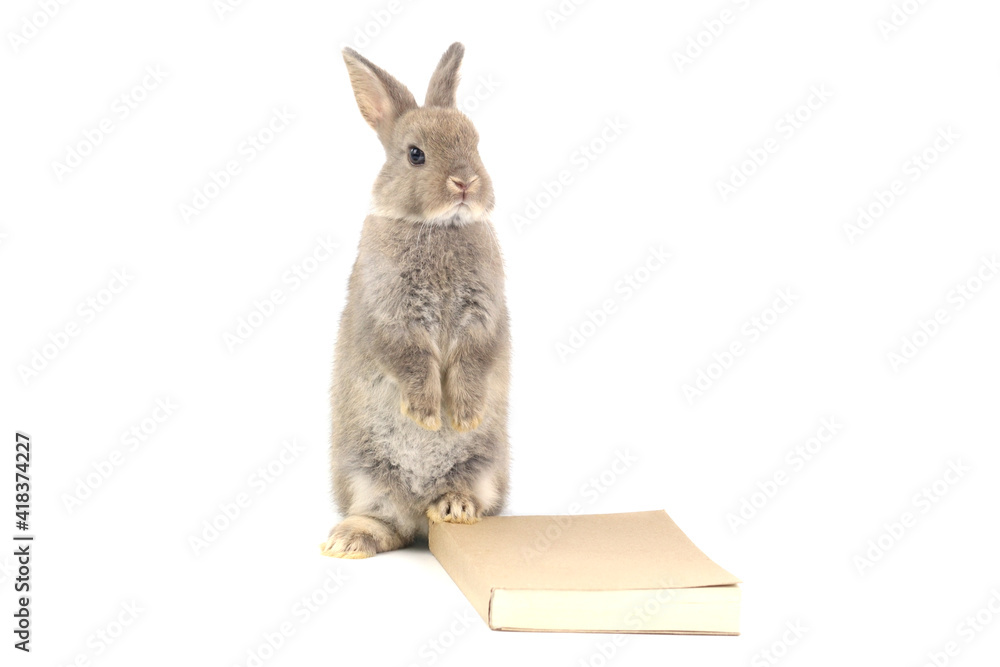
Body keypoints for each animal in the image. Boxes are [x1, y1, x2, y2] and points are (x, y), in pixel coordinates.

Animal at [320, 43, 510, 559]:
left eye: (476, 143)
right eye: (416, 155)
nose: (464, 182)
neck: (438, 227)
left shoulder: (484, 317)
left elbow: (472, 359)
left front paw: (462, 415)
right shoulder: (389, 315)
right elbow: (408, 358)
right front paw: (426, 415)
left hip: (484, 467)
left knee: (466, 496)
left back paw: (453, 507)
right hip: (364, 473)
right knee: (387, 522)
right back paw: (348, 540)